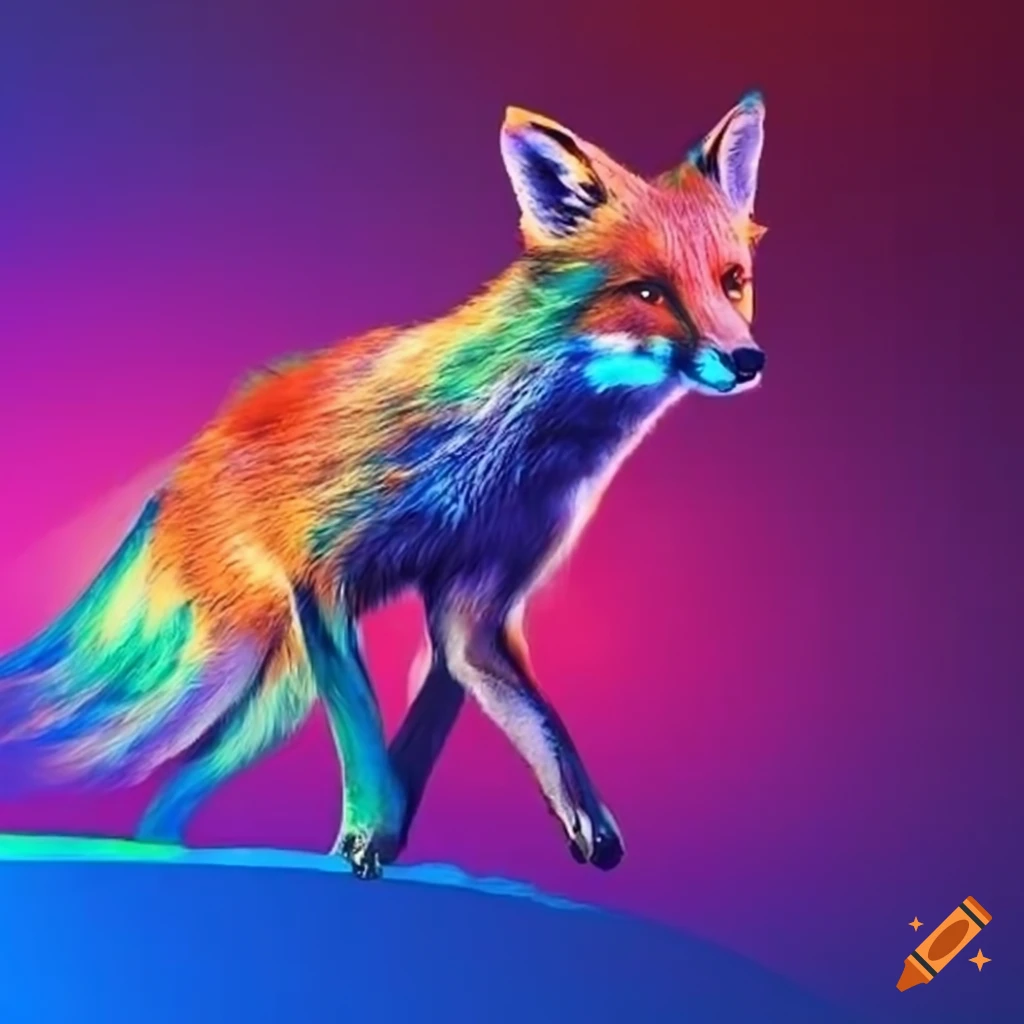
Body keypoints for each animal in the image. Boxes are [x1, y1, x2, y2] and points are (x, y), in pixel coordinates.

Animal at [0, 94, 768, 879]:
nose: (747, 360)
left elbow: (514, 726)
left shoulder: (476, 610)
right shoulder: (325, 580)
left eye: (732, 280)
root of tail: (194, 454)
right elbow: (366, 732)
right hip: (220, 674)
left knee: (174, 793)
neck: (508, 459)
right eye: (648, 292)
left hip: (275, 699)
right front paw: (369, 831)